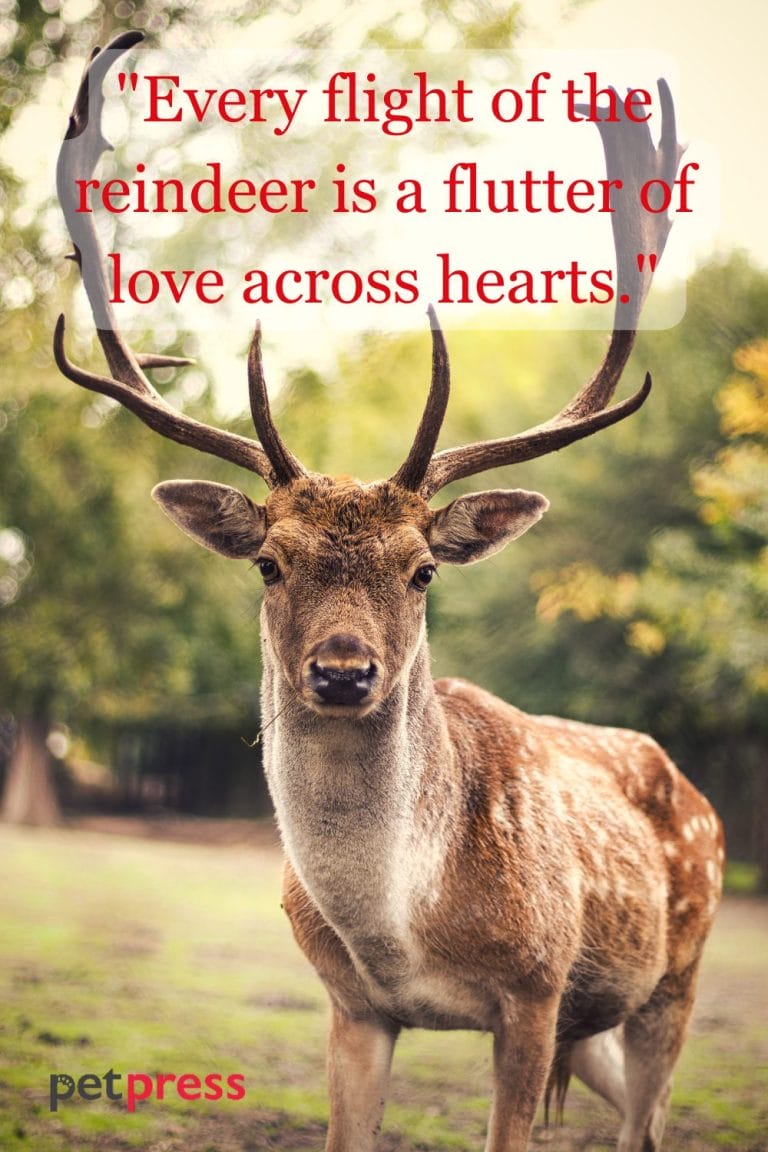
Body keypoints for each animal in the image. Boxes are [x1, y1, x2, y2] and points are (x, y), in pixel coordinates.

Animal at [55, 33, 724, 1152]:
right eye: (268, 561)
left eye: (422, 569)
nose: (341, 670)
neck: (399, 930)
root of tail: (698, 795)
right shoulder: (352, 1007)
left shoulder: (535, 992)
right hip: (596, 1025)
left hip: (672, 975)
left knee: (652, 1119)